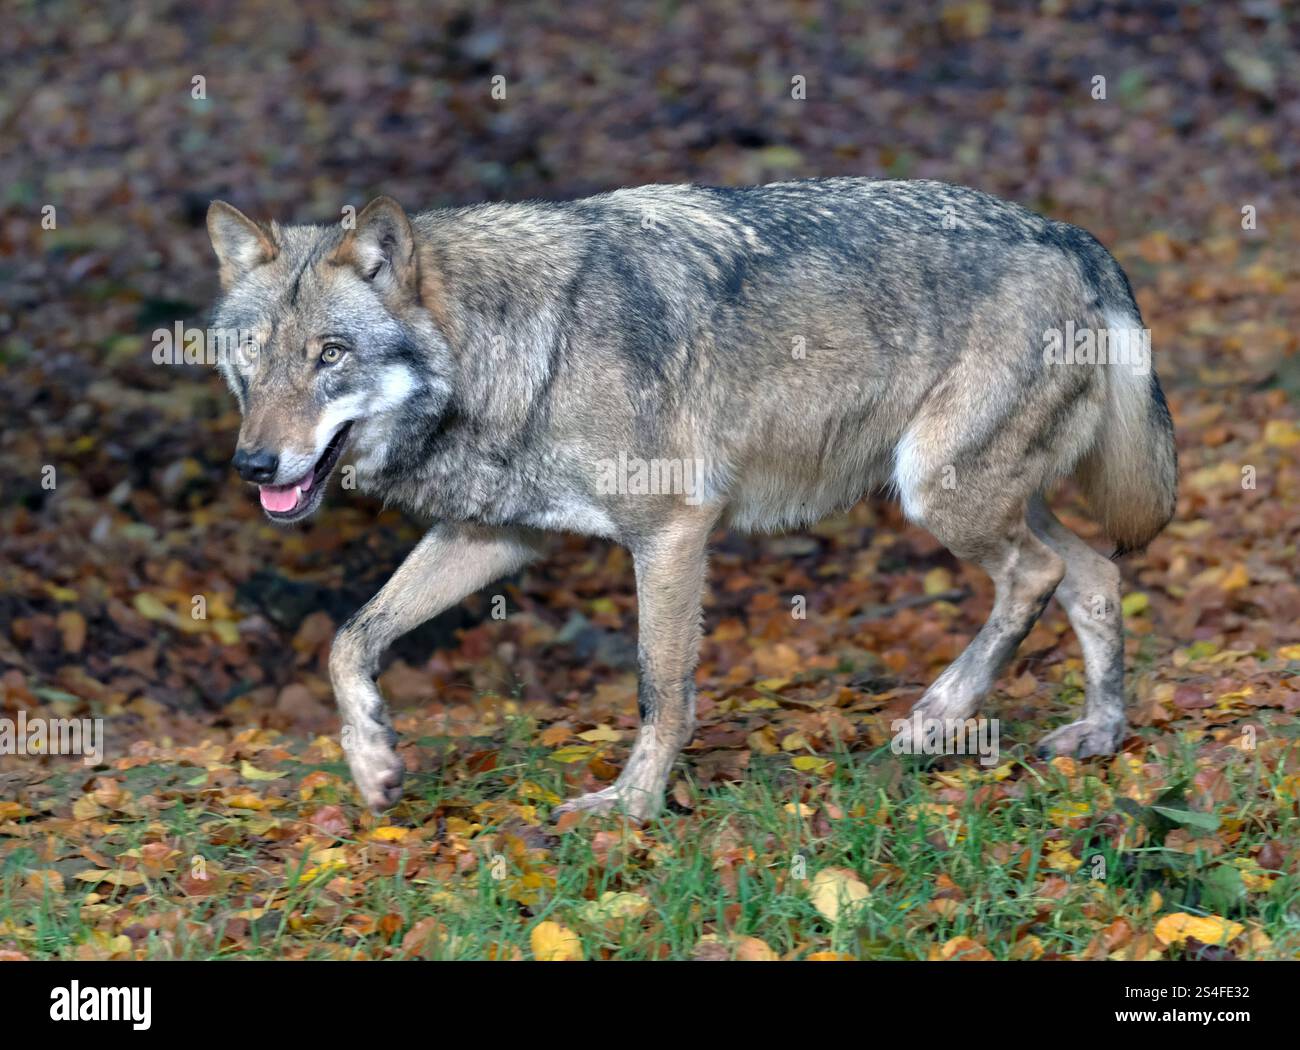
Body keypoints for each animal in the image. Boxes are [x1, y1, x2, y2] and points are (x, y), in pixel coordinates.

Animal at [205, 177, 1177, 819]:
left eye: (330, 355)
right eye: (250, 357)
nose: (254, 464)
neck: (516, 348)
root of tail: (1072, 235)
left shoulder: (671, 529)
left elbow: (659, 688)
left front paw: (630, 805)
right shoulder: (496, 537)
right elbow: (347, 639)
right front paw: (373, 763)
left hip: (940, 495)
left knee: (1039, 575)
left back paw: (934, 720)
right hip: (978, 497)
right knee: (1094, 574)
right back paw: (1098, 733)